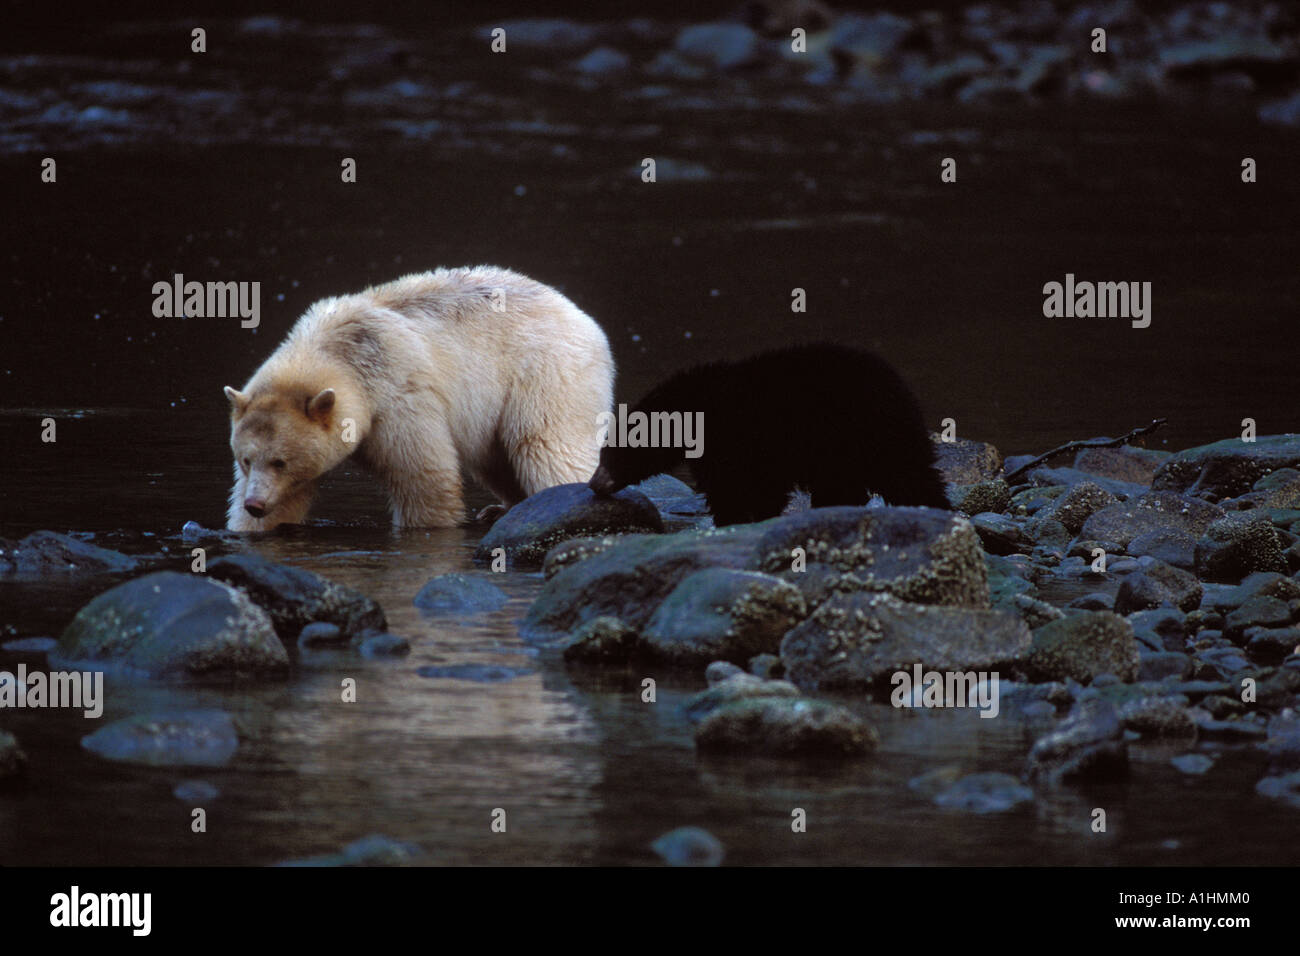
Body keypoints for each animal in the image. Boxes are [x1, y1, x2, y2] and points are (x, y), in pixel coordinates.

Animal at [224, 266, 613, 531]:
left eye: (280, 461)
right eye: (245, 460)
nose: (254, 504)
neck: (346, 354)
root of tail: (583, 318)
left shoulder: (398, 394)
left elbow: (424, 476)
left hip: (546, 374)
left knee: (547, 447)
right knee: (497, 458)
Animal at [588, 343, 950, 526]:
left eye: (610, 454)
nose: (593, 484)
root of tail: (902, 387)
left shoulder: (740, 435)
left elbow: (738, 485)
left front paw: (735, 518)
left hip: (871, 430)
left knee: (909, 474)